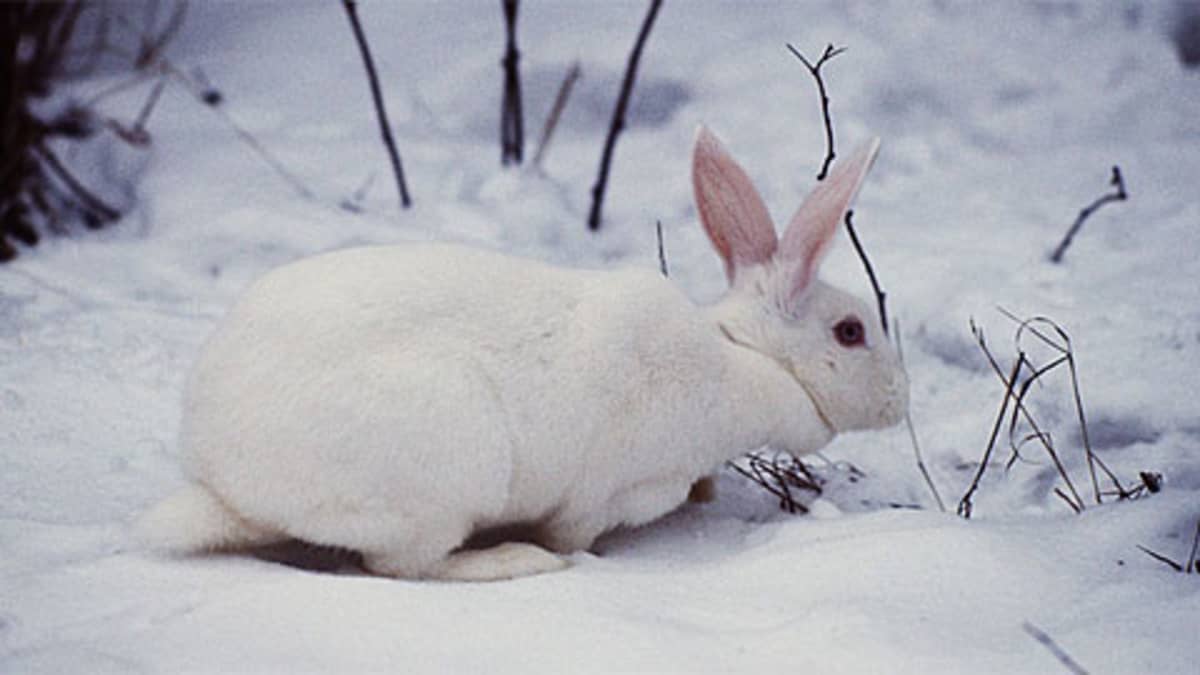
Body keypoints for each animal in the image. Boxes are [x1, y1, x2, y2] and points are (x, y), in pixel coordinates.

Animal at [135, 126, 908, 581]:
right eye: (850, 331)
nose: (901, 401)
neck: (742, 355)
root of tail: (224, 482)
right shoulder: (601, 490)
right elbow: (575, 530)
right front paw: (572, 555)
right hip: (448, 472)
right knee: (404, 565)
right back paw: (514, 561)